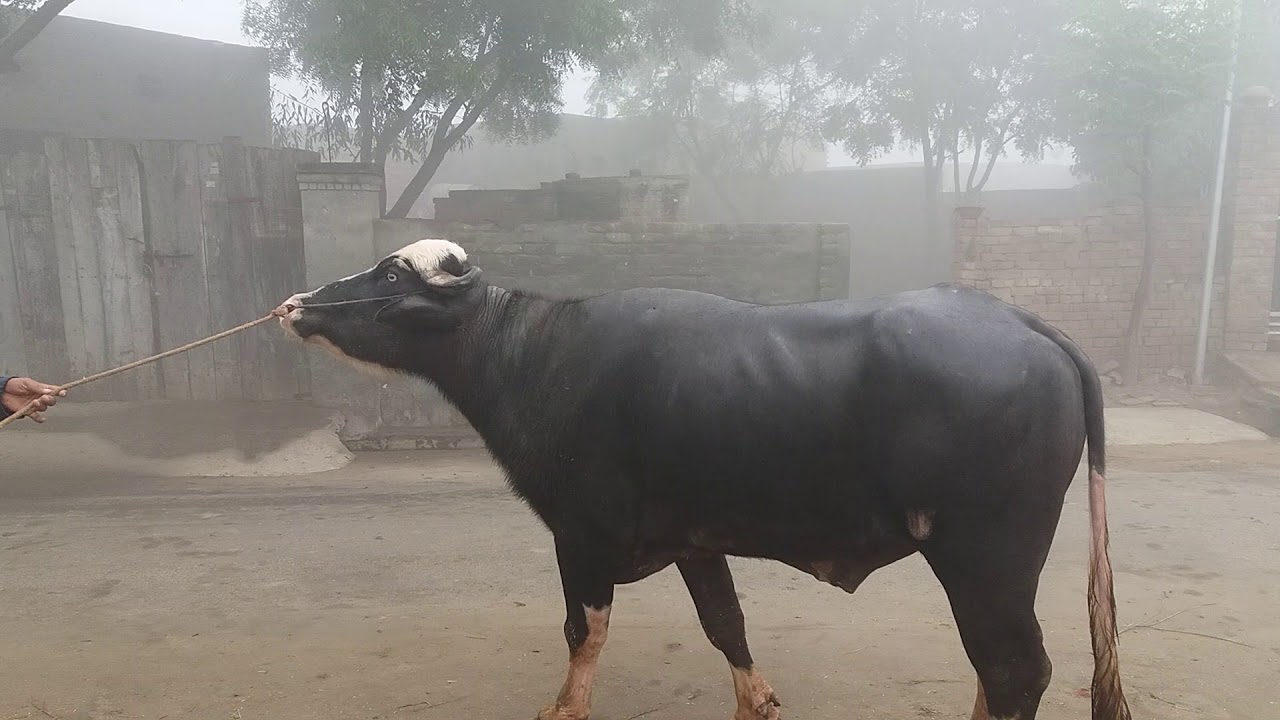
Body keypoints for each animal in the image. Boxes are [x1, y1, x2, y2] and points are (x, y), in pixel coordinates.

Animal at [274, 238, 1131, 720]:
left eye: (390, 276)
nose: (297, 303)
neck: (538, 358)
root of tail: (1022, 322)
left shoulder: (580, 537)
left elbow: (584, 632)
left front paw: (564, 708)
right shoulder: (695, 538)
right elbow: (726, 622)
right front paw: (757, 701)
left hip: (988, 555)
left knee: (1016, 667)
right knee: (996, 665)